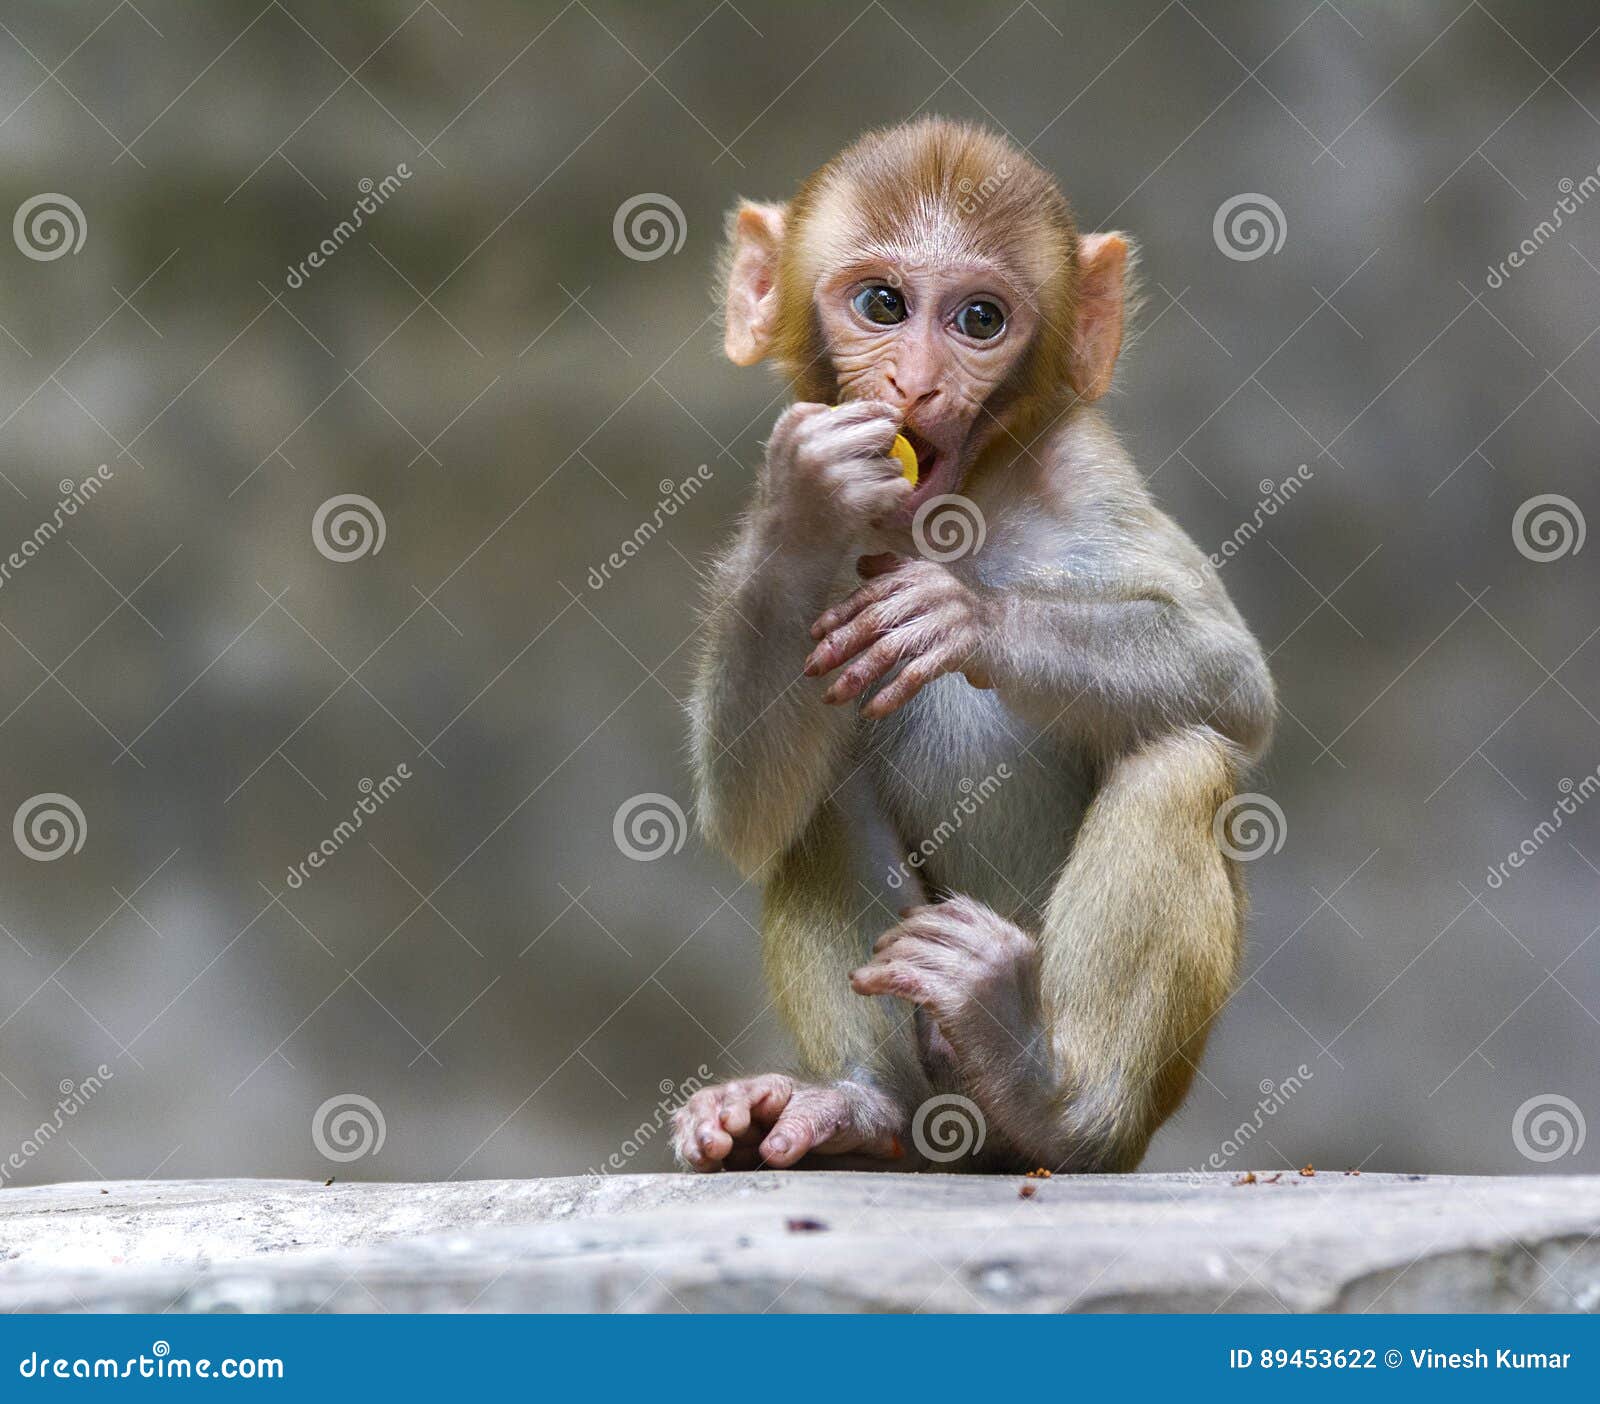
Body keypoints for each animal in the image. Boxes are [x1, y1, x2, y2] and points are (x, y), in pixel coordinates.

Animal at [672, 118, 1274, 1175]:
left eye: (980, 320)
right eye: (882, 304)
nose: (915, 384)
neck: (950, 514)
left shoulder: (1086, 469)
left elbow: (1233, 679)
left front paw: (963, 621)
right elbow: (746, 812)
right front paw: (805, 509)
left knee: (1182, 758)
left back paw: (1047, 1092)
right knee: (816, 794)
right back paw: (858, 1106)